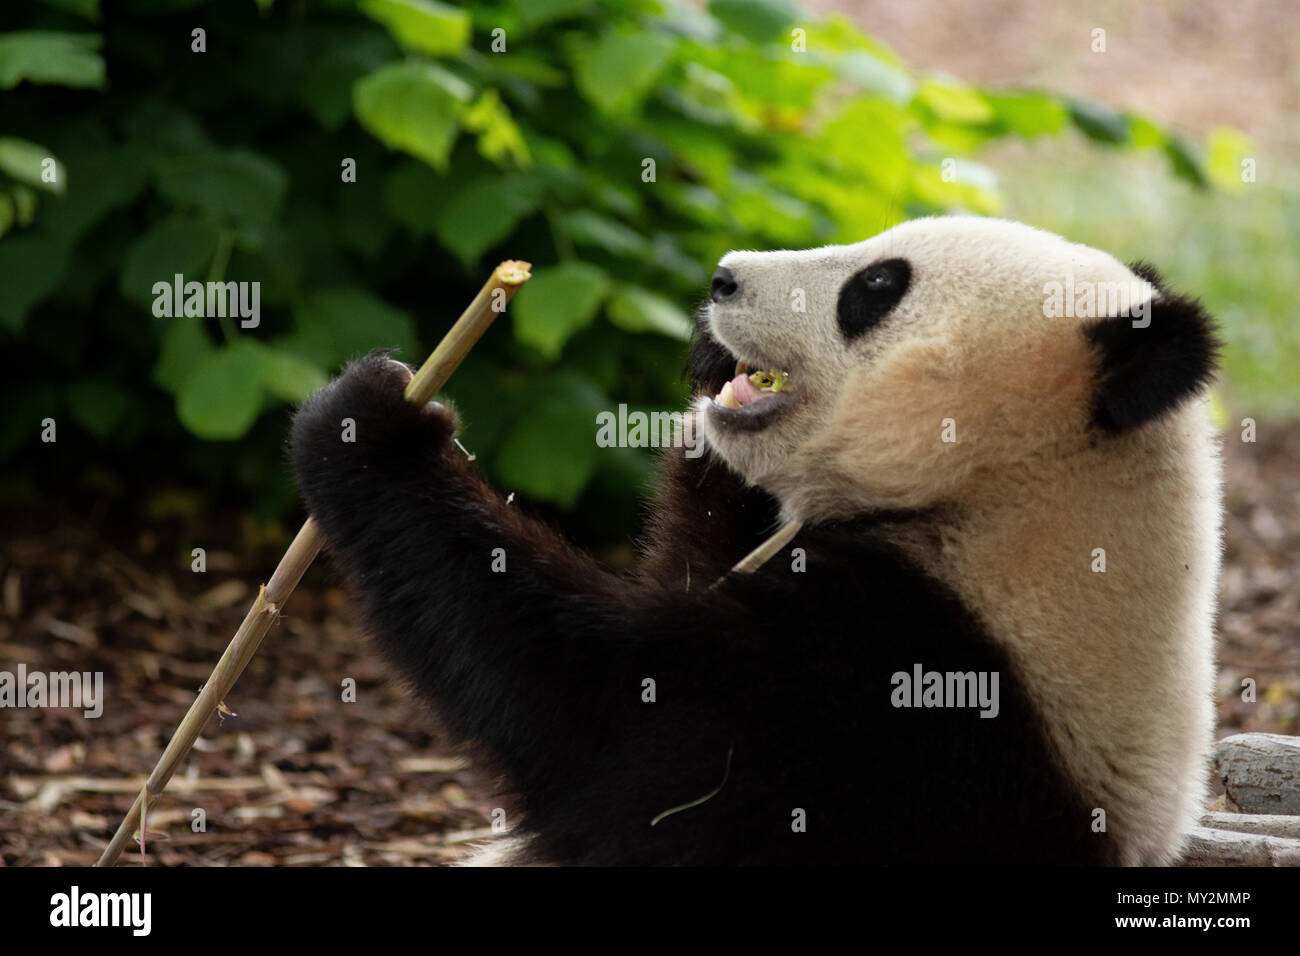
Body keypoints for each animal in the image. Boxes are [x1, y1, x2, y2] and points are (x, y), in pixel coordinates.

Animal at [289, 216, 1222, 866]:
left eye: (875, 288)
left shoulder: (890, 699)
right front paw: (710, 369)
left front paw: (372, 424)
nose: (723, 277)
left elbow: (587, 699)